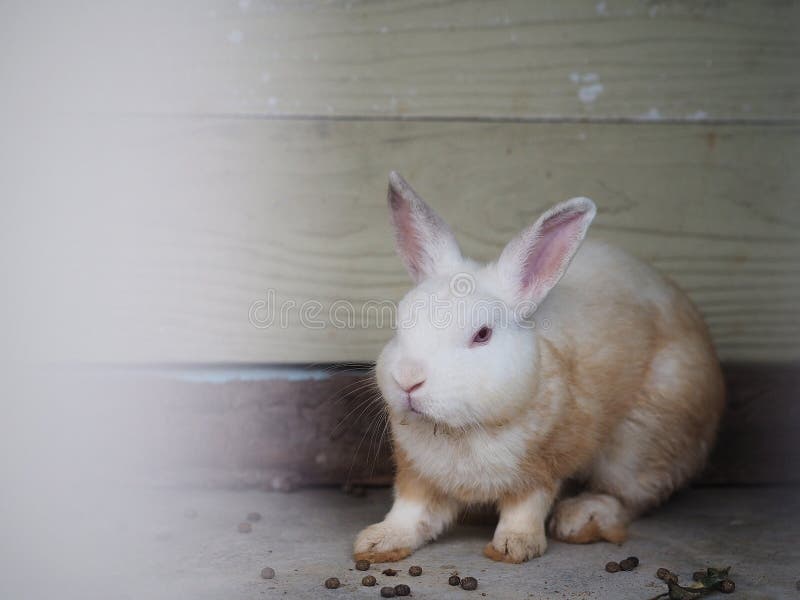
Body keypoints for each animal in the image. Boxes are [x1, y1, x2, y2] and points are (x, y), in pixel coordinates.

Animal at [353, 172, 725, 564]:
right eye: (400, 323)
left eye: (482, 334)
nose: (408, 380)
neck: (464, 429)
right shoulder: (418, 473)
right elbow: (411, 510)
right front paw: (378, 542)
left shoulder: (544, 465)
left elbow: (526, 506)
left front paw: (513, 546)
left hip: (640, 444)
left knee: (627, 496)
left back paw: (580, 518)